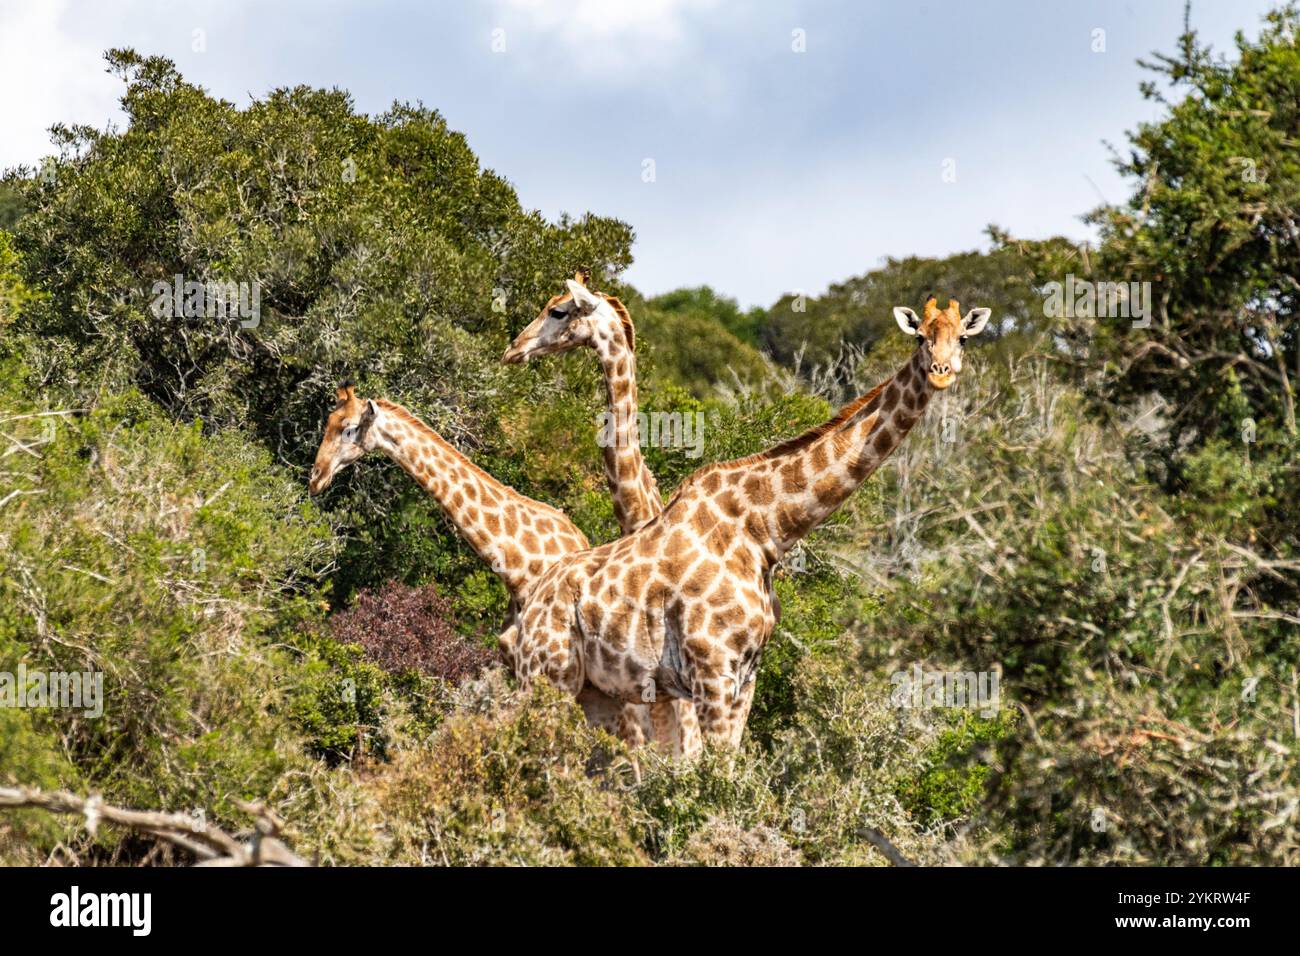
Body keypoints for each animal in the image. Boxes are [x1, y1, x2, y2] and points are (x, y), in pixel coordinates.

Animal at [307, 382, 647, 746]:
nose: (315, 478)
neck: (518, 568)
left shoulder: (548, 674)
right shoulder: (520, 667)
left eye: (348, 429)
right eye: (327, 422)